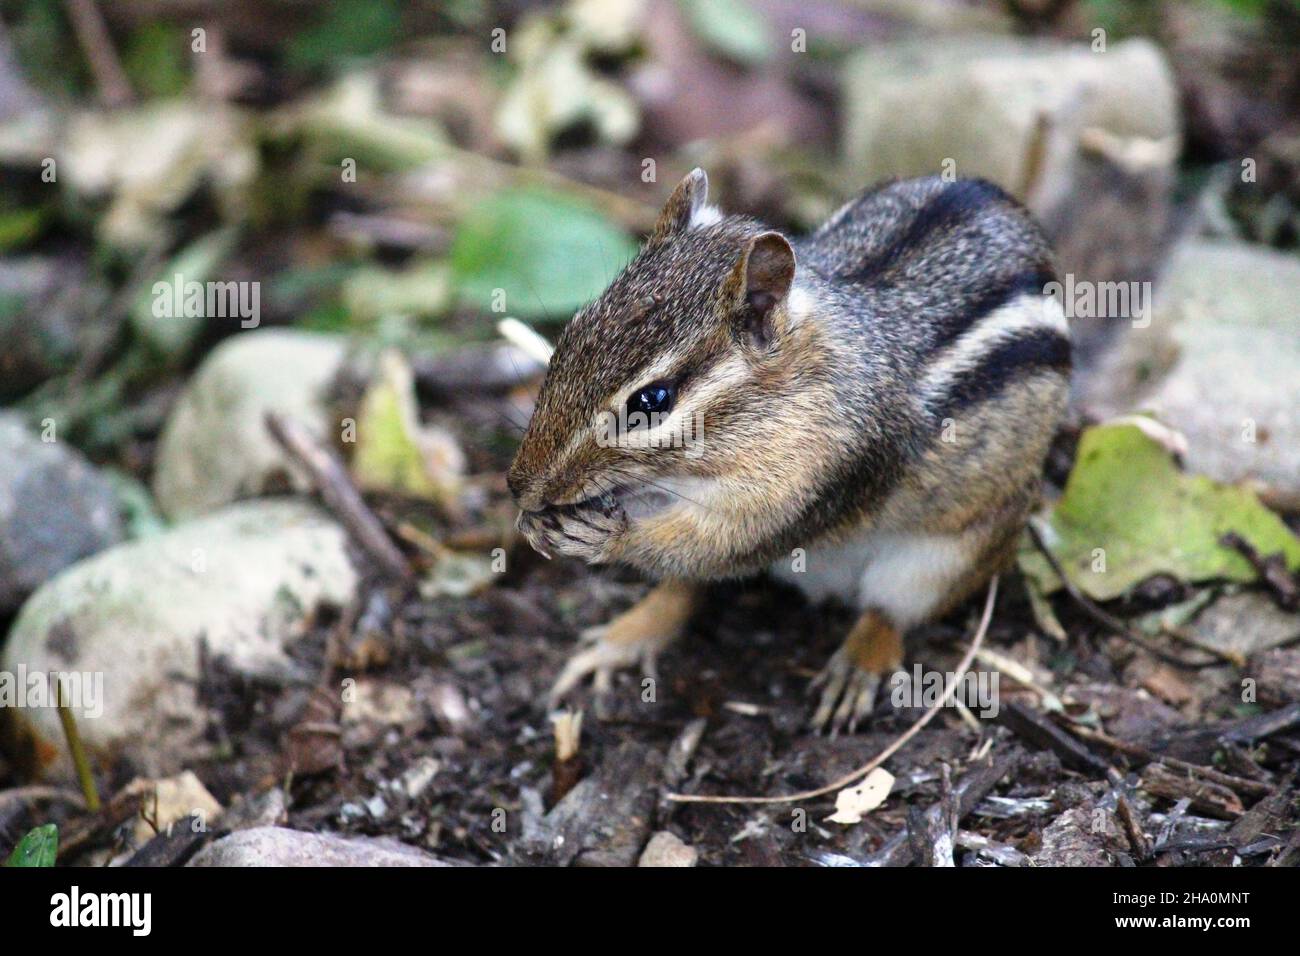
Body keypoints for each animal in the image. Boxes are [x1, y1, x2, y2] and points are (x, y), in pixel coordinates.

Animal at [507, 169, 1070, 734]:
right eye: (572, 331)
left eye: (653, 400)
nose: (520, 487)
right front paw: (536, 525)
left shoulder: (818, 481)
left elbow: (718, 544)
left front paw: (610, 536)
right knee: (685, 589)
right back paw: (622, 637)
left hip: (948, 558)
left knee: (888, 612)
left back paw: (856, 665)